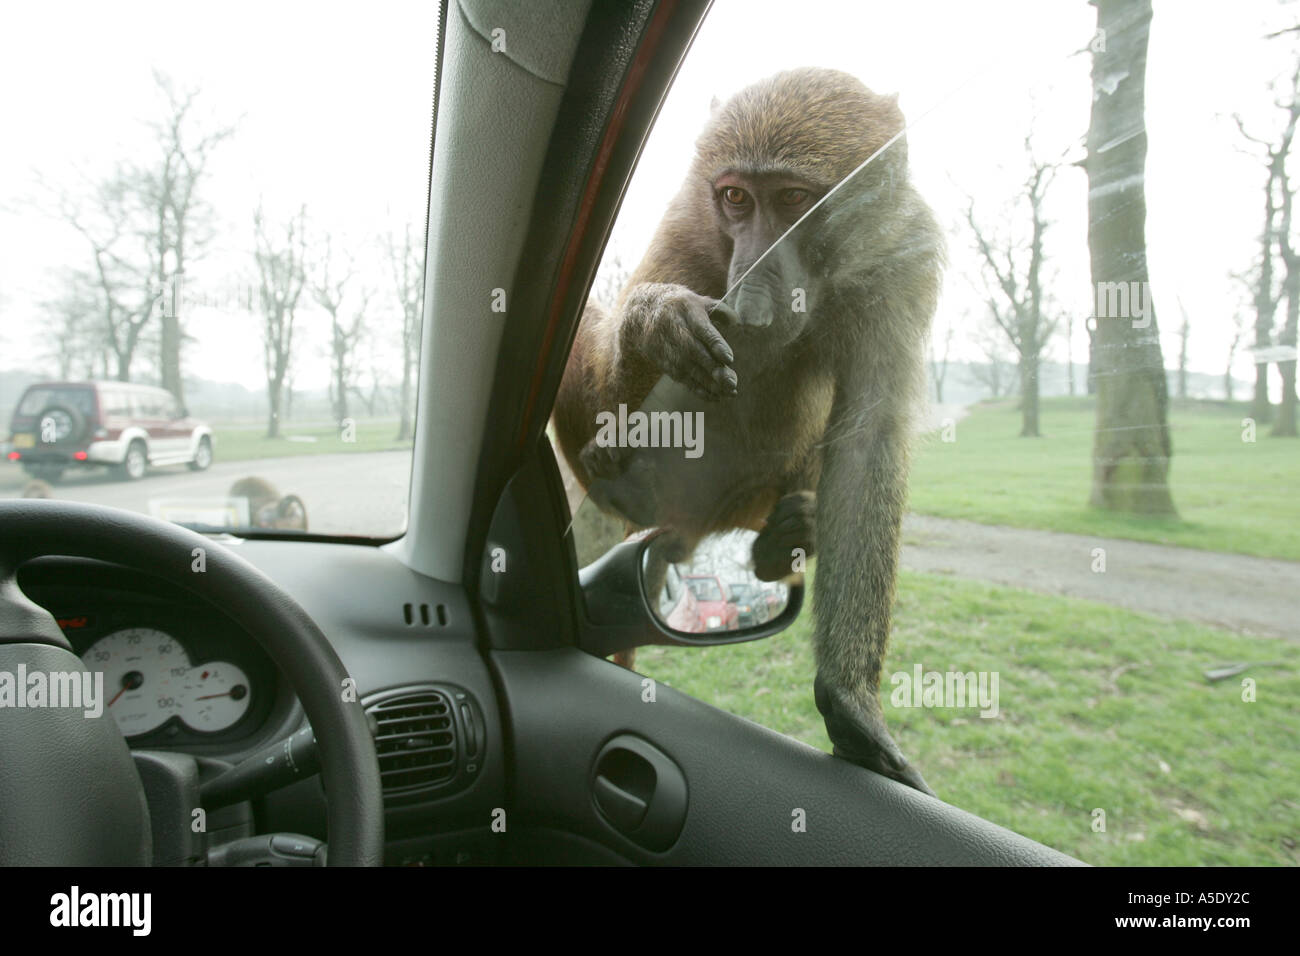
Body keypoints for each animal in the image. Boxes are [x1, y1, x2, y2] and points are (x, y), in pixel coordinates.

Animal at [553, 68, 943, 795]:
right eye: (736, 197)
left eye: (793, 198)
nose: (752, 292)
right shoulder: (687, 224)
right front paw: (652, 320)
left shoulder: (905, 250)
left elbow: (869, 431)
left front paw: (851, 703)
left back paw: (790, 537)